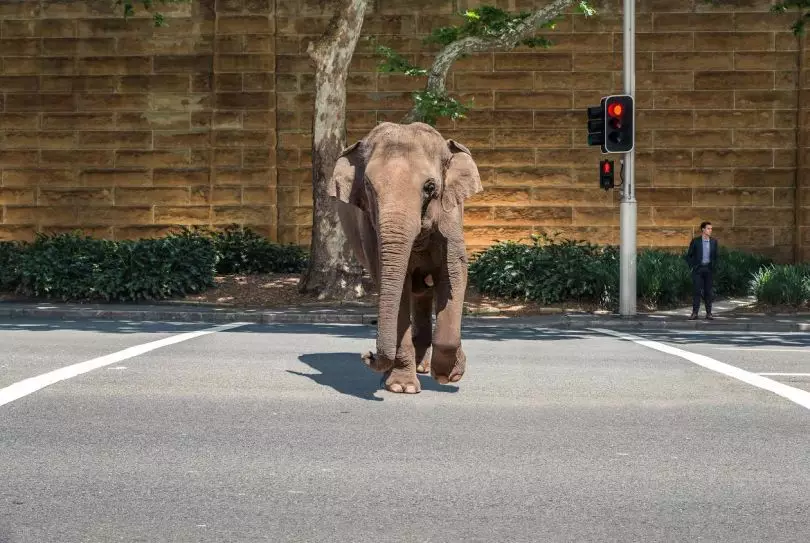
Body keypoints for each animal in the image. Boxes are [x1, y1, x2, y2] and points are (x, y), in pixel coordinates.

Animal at [326, 122, 480, 396]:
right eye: (368, 186)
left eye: (430, 187)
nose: (367, 355)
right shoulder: (371, 230)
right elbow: (395, 288)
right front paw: (401, 386)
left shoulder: (450, 219)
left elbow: (455, 273)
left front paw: (447, 375)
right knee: (415, 293)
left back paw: (424, 367)